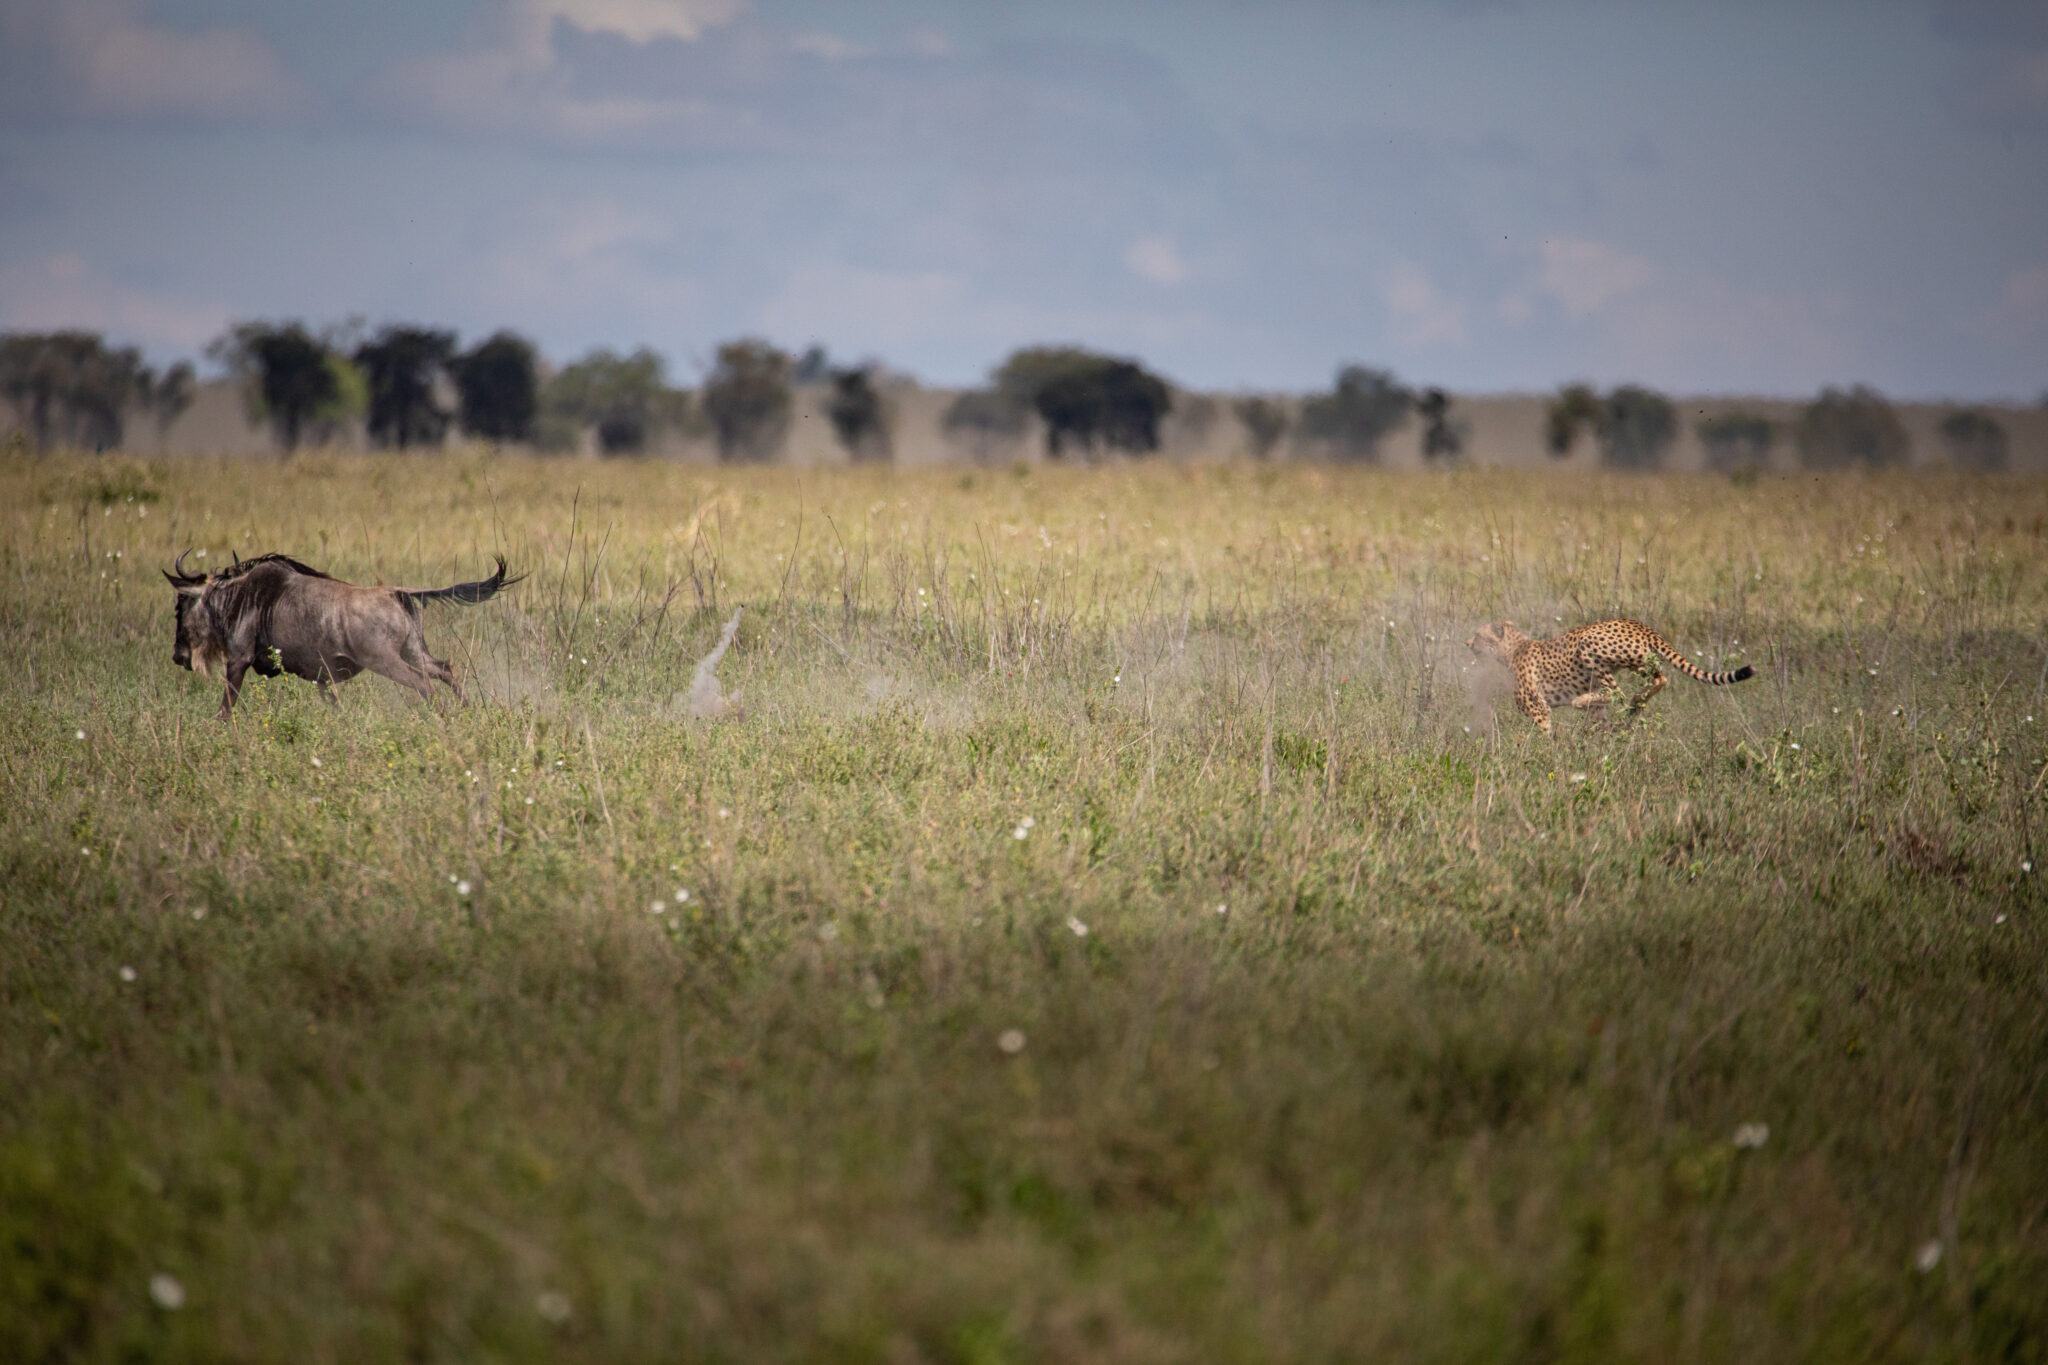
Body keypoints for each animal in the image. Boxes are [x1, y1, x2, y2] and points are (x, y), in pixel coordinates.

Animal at [1466, 618, 1755, 735]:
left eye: (1478, 634)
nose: (1467, 643)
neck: (1511, 649)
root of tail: (1640, 624)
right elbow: (1601, 722)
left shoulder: (1538, 708)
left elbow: (1544, 734)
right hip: (1637, 661)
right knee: (1659, 679)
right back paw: (1637, 702)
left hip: (1590, 645)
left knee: (1618, 692)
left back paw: (1588, 701)